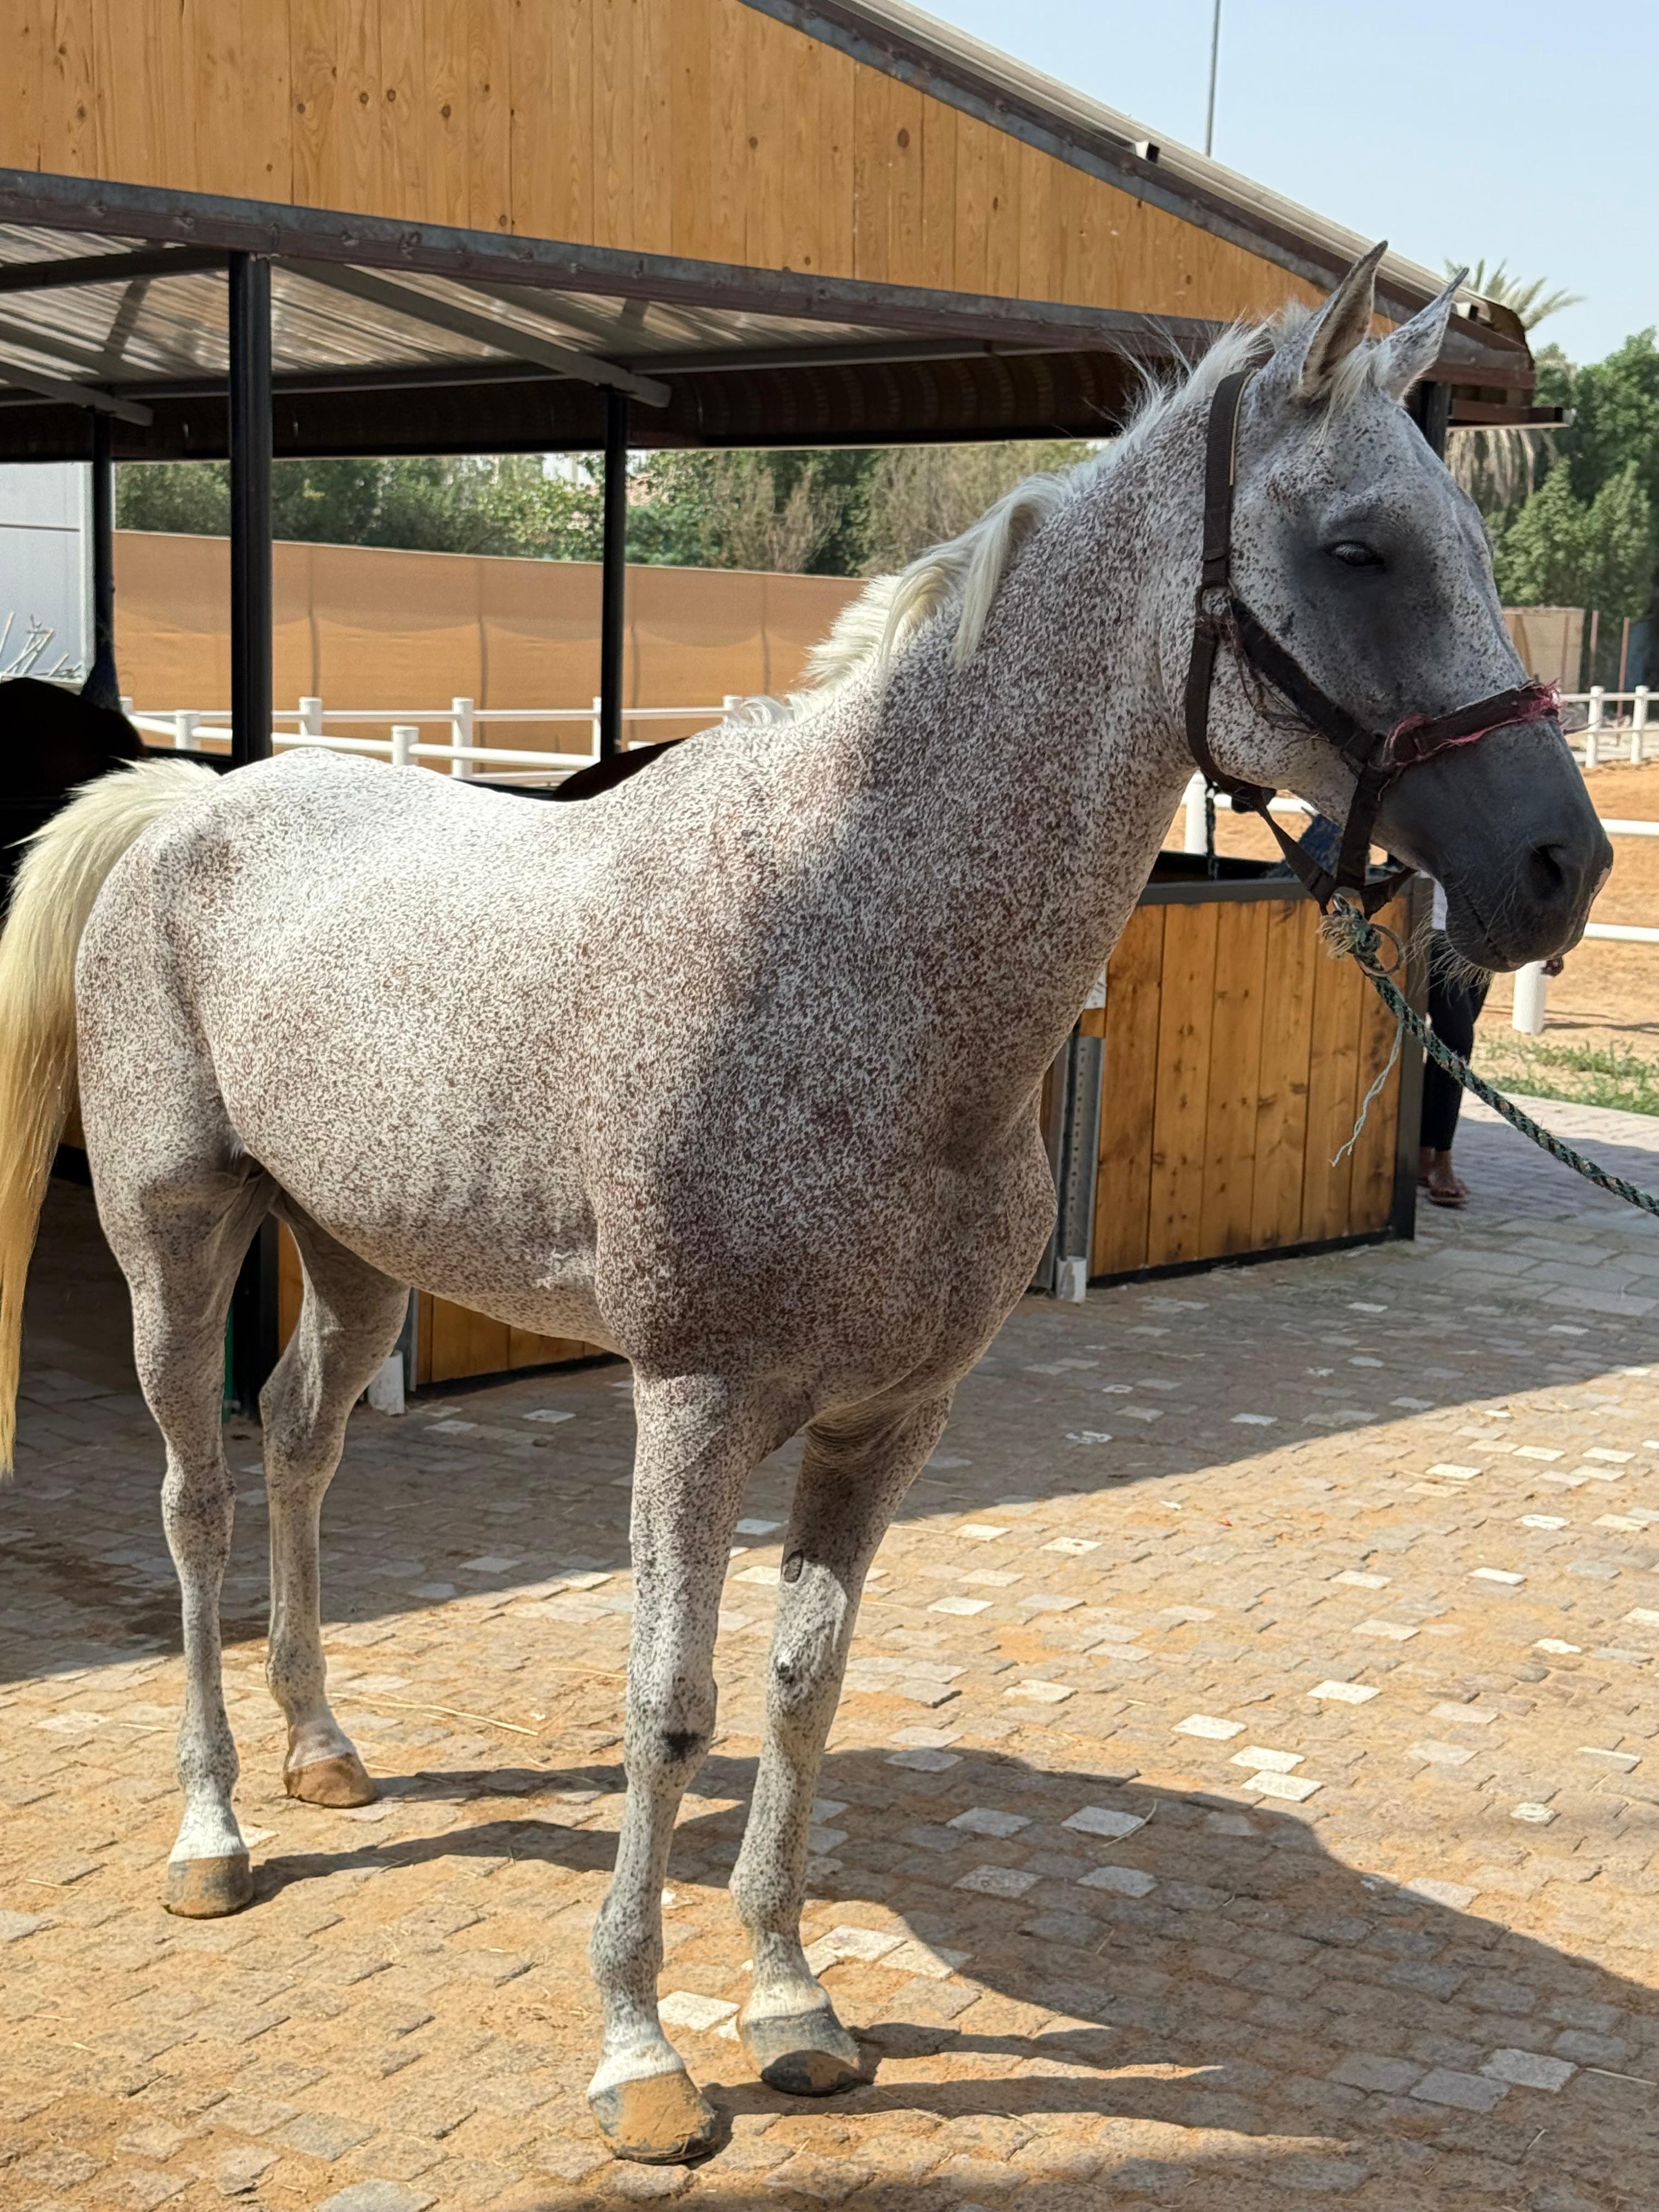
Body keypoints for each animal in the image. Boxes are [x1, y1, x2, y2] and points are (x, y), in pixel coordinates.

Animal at [0, 247, 1609, 2166]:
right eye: (1360, 549)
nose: (1562, 867)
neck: (848, 953)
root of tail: (191, 802)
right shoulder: (694, 1405)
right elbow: (670, 1704)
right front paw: (639, 2052)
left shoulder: (888, 1422)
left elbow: (802, 1688)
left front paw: (788, 2004)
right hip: (178, 1237)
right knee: (193, 1499)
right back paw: (217, 1831)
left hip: (357, 1247)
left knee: (304, 1445)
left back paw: (322, 1748)